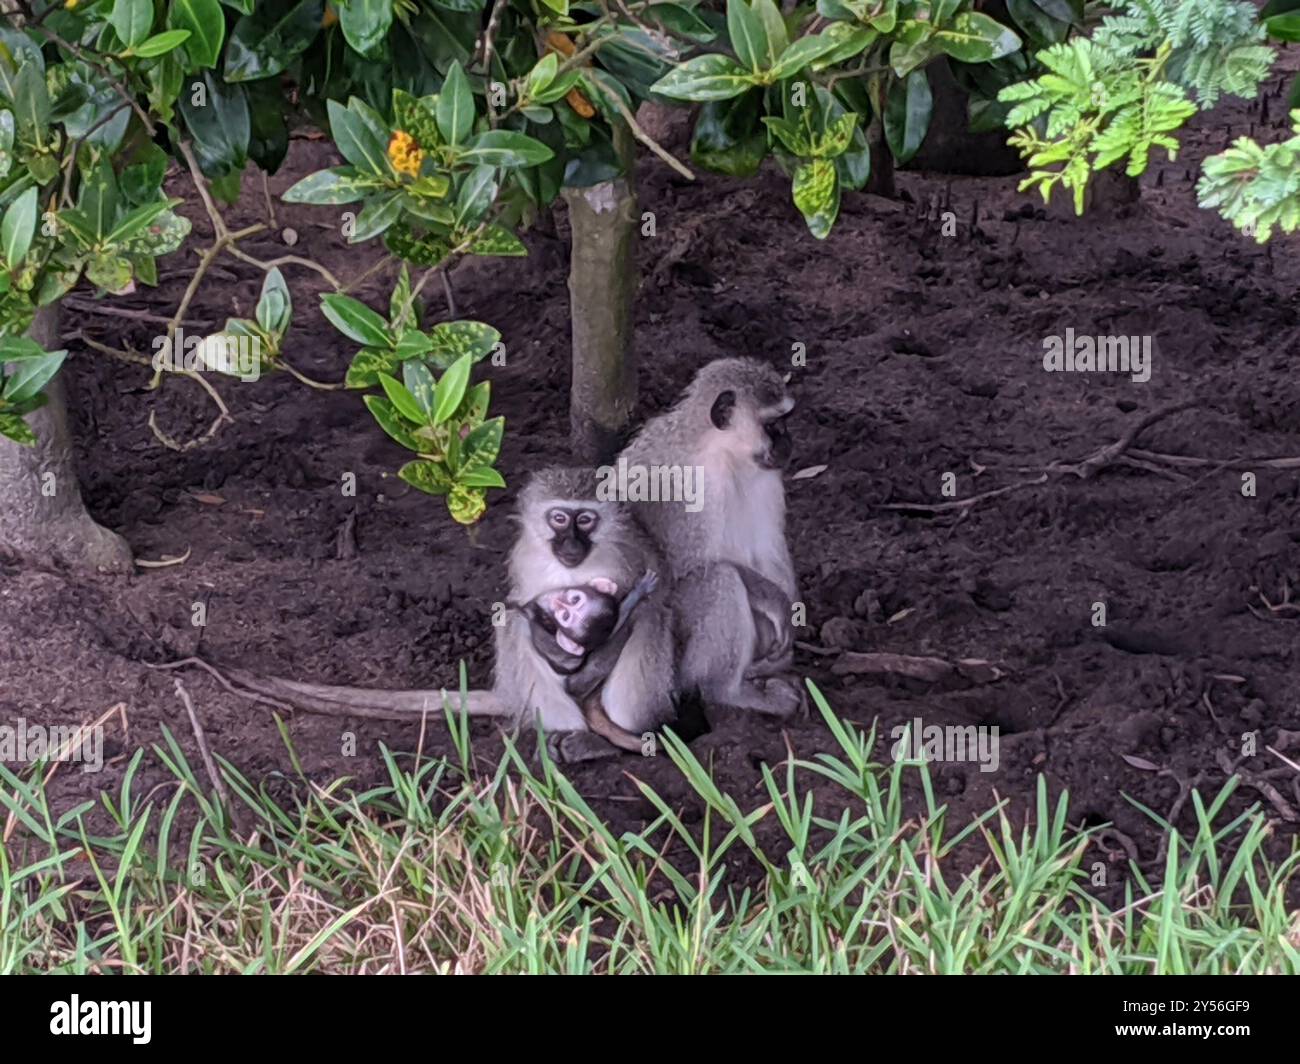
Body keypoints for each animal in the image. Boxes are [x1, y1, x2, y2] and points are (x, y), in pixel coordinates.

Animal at [619, 358, 802, 719]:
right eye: (773, 425)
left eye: (786, 421)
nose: (789, 445)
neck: (724, 454)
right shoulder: (686, 486)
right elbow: (689, 567)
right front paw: (778, 604)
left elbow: (768, 549)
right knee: (721, 580)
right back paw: (728, 692)